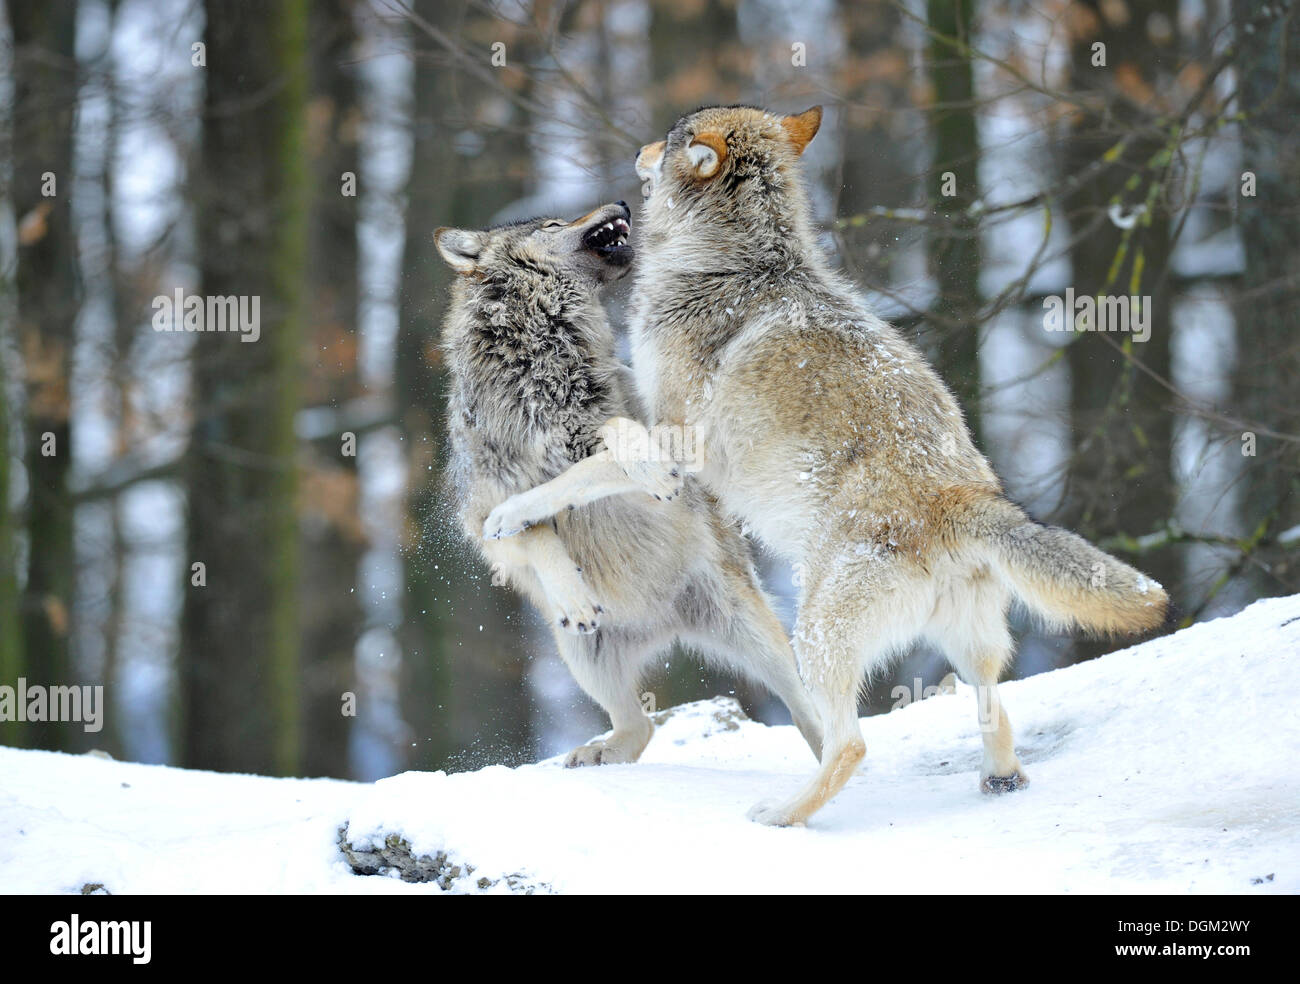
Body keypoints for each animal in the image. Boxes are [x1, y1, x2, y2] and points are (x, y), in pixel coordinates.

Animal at [435, 201, 822, 768]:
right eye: (552, 226)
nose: (620, 204)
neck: (548, 371)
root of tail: (662, 627)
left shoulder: (666, 445)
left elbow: (611, 443)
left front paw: (637, 464)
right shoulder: (479, 522)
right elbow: (534, 534)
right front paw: (567, 585)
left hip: (757, 632)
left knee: (804, 708)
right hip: (581, 654)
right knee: (640, 727)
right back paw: (600, 751)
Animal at [485, 108, 1169, 824]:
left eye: (671, 134)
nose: (634, 161)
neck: (737, 262)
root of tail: (962, 499)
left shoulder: (676, 450)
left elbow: (584, 473)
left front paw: (507, 514)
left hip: (815, 636)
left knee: (851, 744)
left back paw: (780, 815)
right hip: (965, 647)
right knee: (992, 705)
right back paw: (1000, 779)